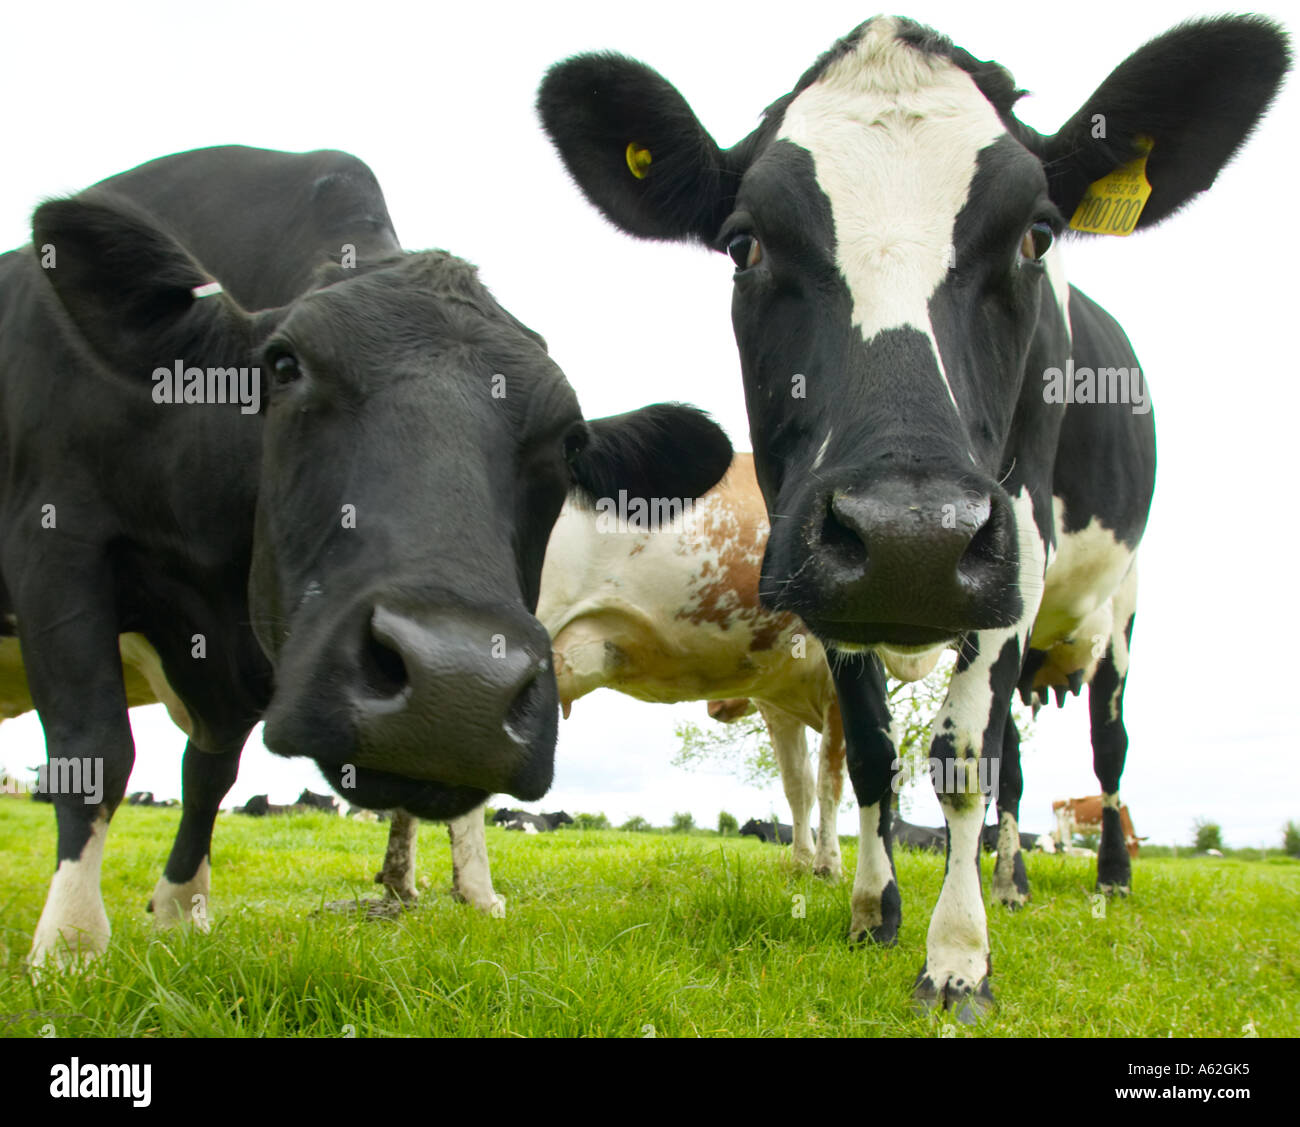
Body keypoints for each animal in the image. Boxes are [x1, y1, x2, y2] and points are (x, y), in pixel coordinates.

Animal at [2, 144, 731, 966]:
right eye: (283, 365)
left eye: (571, 441)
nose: (458, 687)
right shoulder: (56, 544)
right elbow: (95, 748)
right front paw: (70, 946)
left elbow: (210, 773)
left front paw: (180, 911)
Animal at [538, 16, 1287, 1015]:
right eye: (744, 245)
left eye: (1037, 236)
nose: (912, 535)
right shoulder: (830, 569)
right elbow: (872, 753)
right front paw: (873, 912)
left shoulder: (1017, 543)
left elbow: (962, 757)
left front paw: (959, 956)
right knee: (1016, 763)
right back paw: (1012, 881)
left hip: (1116, 603)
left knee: (1106, 744)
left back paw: (1109, 876)